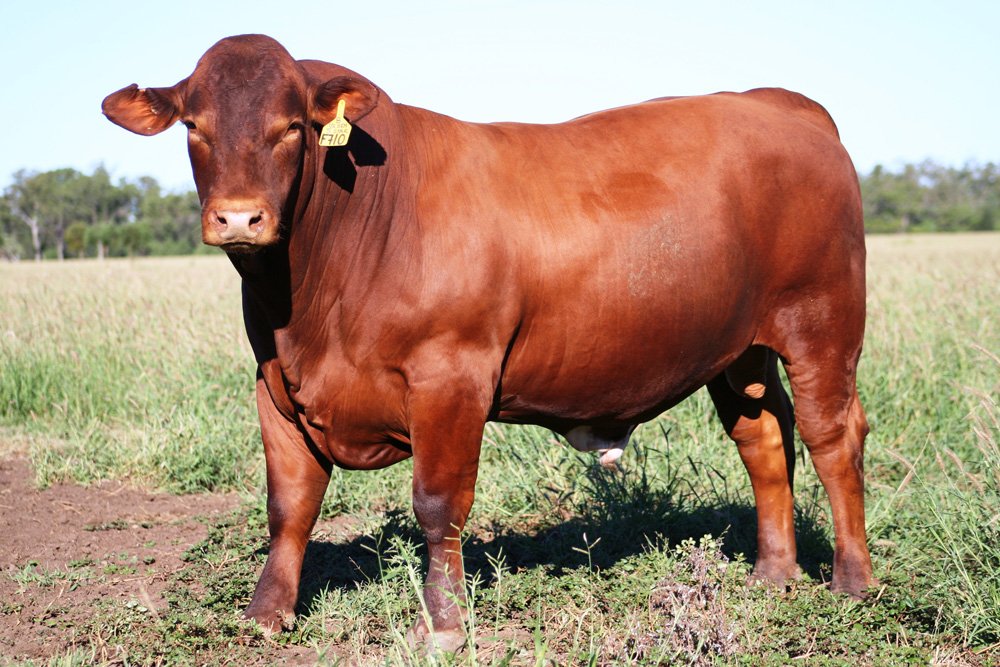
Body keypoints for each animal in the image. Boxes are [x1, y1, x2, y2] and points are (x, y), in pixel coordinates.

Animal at [102, 34, 874, 651]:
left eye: (291, 127)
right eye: (194, 126)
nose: (239, 217)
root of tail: (780, 103)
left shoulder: (451, 374)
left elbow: (438, 503)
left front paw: (442, 625)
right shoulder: (275, 381)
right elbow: (288, 503)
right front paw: (266, 615)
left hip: (822, 322)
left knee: (833, 437)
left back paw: (852, 582)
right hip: (740, 350)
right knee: (764, 438)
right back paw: (772, 575)